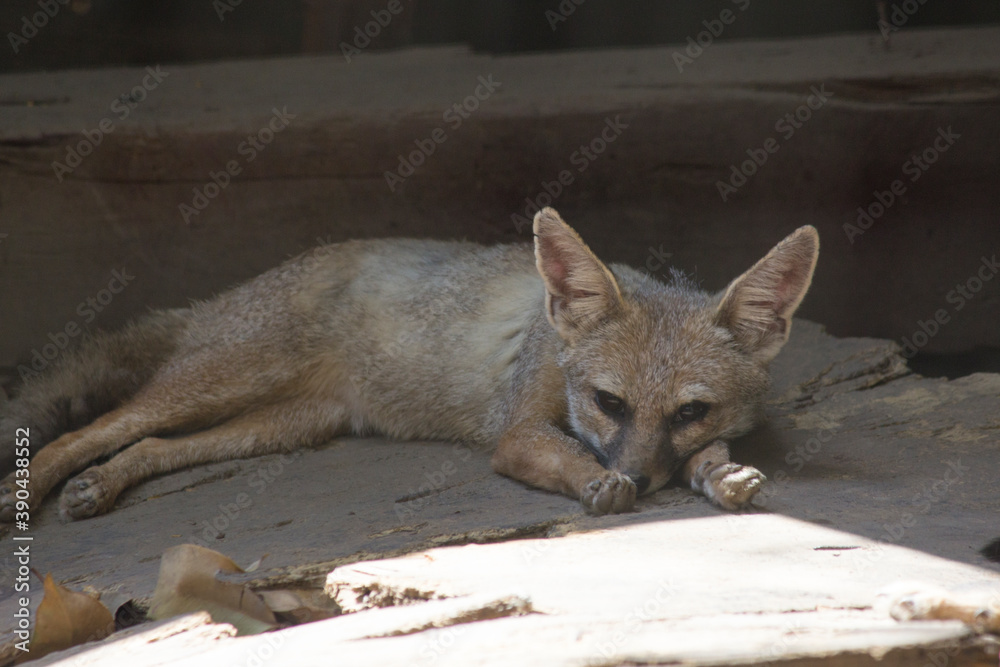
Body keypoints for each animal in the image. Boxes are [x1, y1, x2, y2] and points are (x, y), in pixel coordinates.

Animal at [0, 208, 818, 522]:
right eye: (607, 402)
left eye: (690, 410)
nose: (646, 480)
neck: (552, 337)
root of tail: (215, 299)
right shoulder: (515, 432)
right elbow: (564, 451)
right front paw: (599, 481)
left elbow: (713, 453)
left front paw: (718, 472)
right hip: (219, 386)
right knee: (92, 429)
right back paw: (30, 491)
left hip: (278, 428)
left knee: (146, 446)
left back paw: (100, 487)